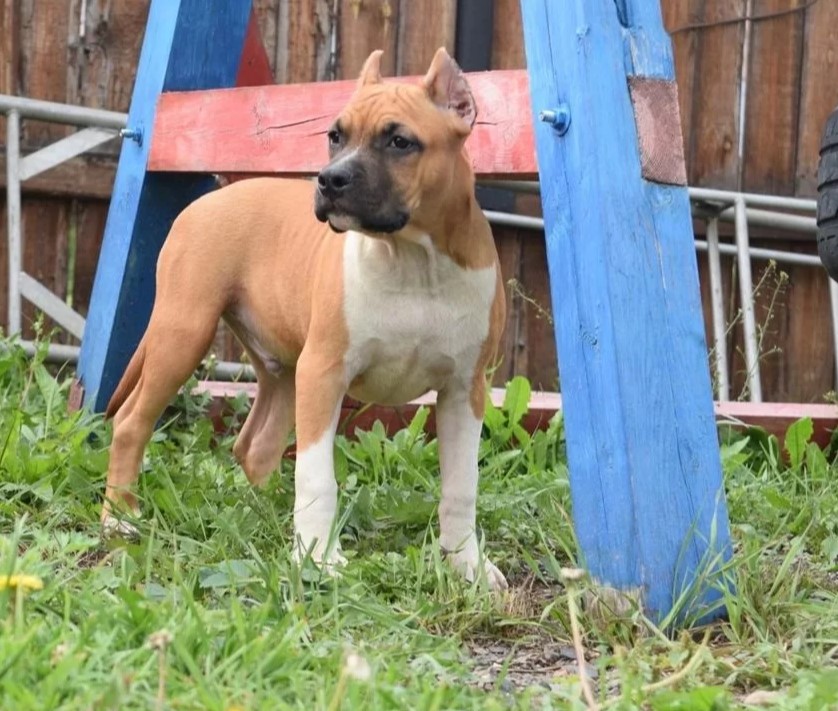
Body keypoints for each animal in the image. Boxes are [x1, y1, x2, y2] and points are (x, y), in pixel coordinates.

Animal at [98, 48, 506, 588]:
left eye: (400, 142)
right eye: (335, 135)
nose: (330, 179)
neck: (413, 260)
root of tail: (208, 200)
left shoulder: (464, 390)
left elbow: (462, 486)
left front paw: (468, 565)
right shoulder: (325, 373)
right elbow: (316, 476)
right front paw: (317, 557)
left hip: (284, 374)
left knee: (254, 445)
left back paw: (266, 514)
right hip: (183, 334)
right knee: (132, 423)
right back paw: (119, 519)